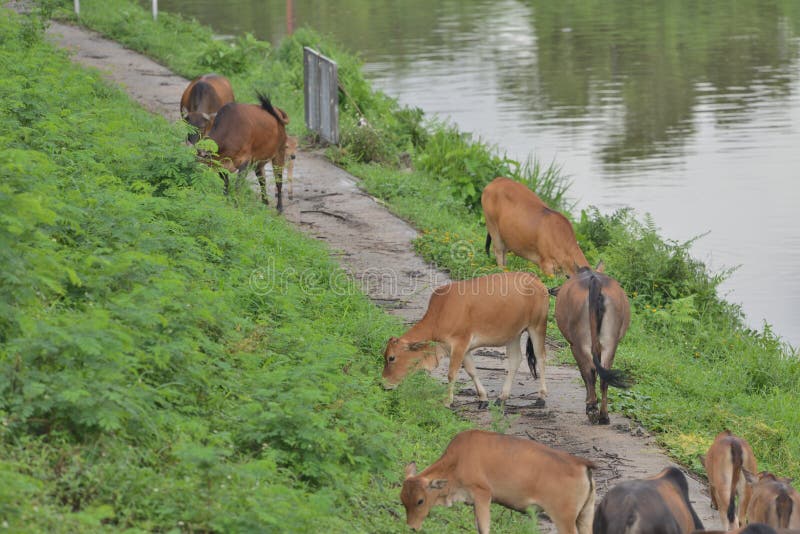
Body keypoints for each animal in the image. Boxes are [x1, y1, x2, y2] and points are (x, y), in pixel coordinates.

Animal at [382, 271, 549, 408]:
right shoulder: (465, 349)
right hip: (513, 334)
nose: (383, 385)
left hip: (537, 327)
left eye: (391, 358)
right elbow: (471, 371)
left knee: (540, 358)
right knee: (515, 360)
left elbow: (451, 374)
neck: (440, 313)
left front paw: (447, 401)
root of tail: (535, 279)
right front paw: (483, 398)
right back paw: (502, 397)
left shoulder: (459, 344)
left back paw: (541, 397)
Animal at [401, 429, 596, 534]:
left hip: (564, 519)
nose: (411, 527)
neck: (457, 460)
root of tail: (581, 464)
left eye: (420, 500)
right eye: (402, 500)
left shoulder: (482, 496)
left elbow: (484, 528)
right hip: (585, 516)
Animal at [554, 264, 631, 424]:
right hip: (610, 342)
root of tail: (594, 280)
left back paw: (592, 410)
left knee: (588, 371)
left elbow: (586, 373)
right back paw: (604, 415)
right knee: (605, 375)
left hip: (580, 342)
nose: (552, 290)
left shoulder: (573, 345)